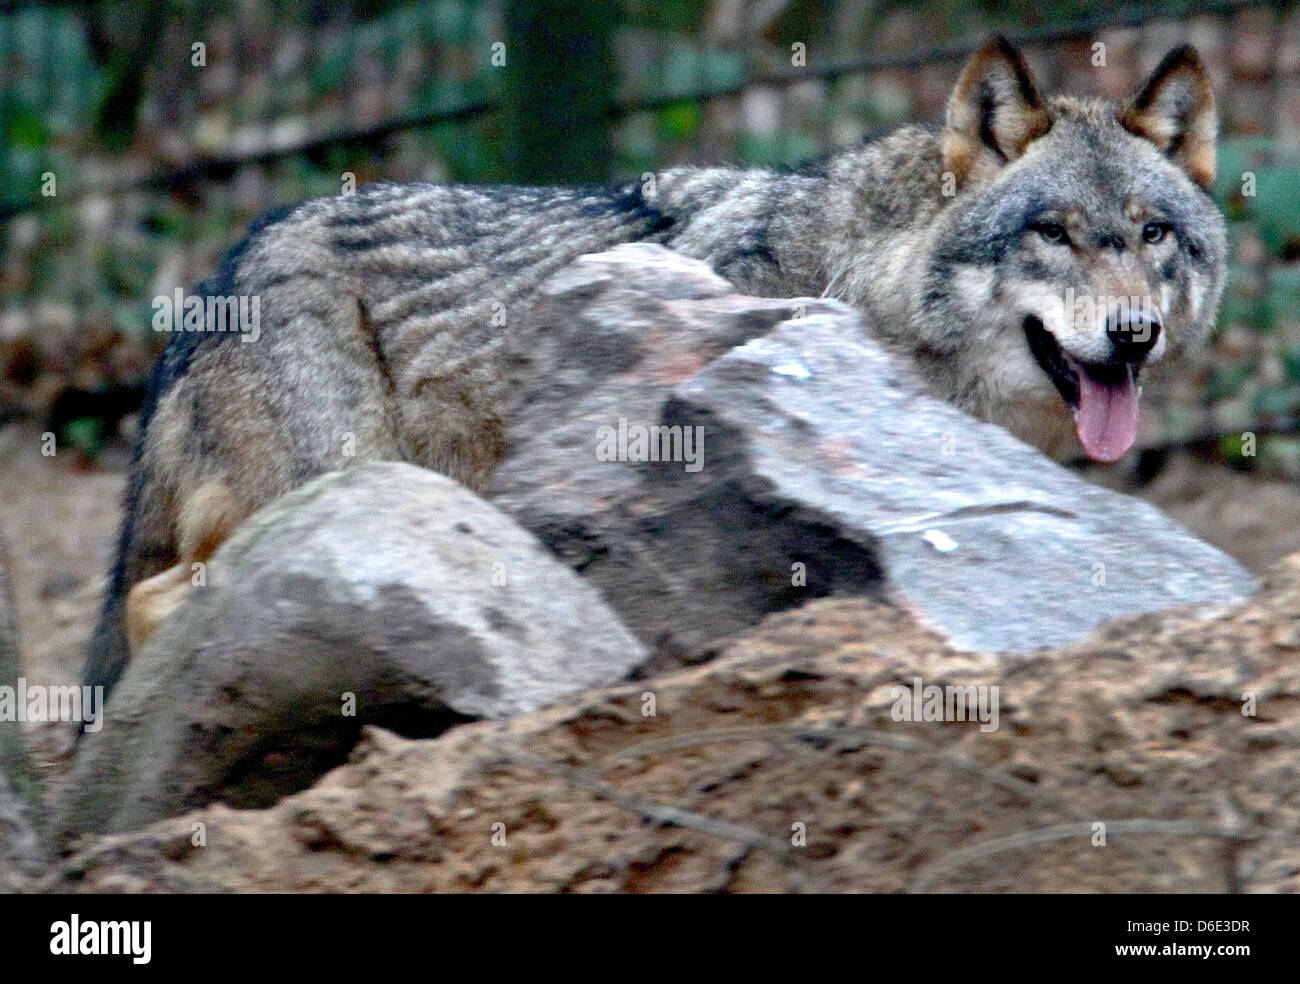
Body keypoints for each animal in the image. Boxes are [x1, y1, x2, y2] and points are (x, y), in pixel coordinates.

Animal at [82, 38, 1226, 703]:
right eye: (1053, 233)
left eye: (1153, 234)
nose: (1133, 335)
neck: (874, 284)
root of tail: (227, 265)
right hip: (330, 489)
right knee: (156, 610)